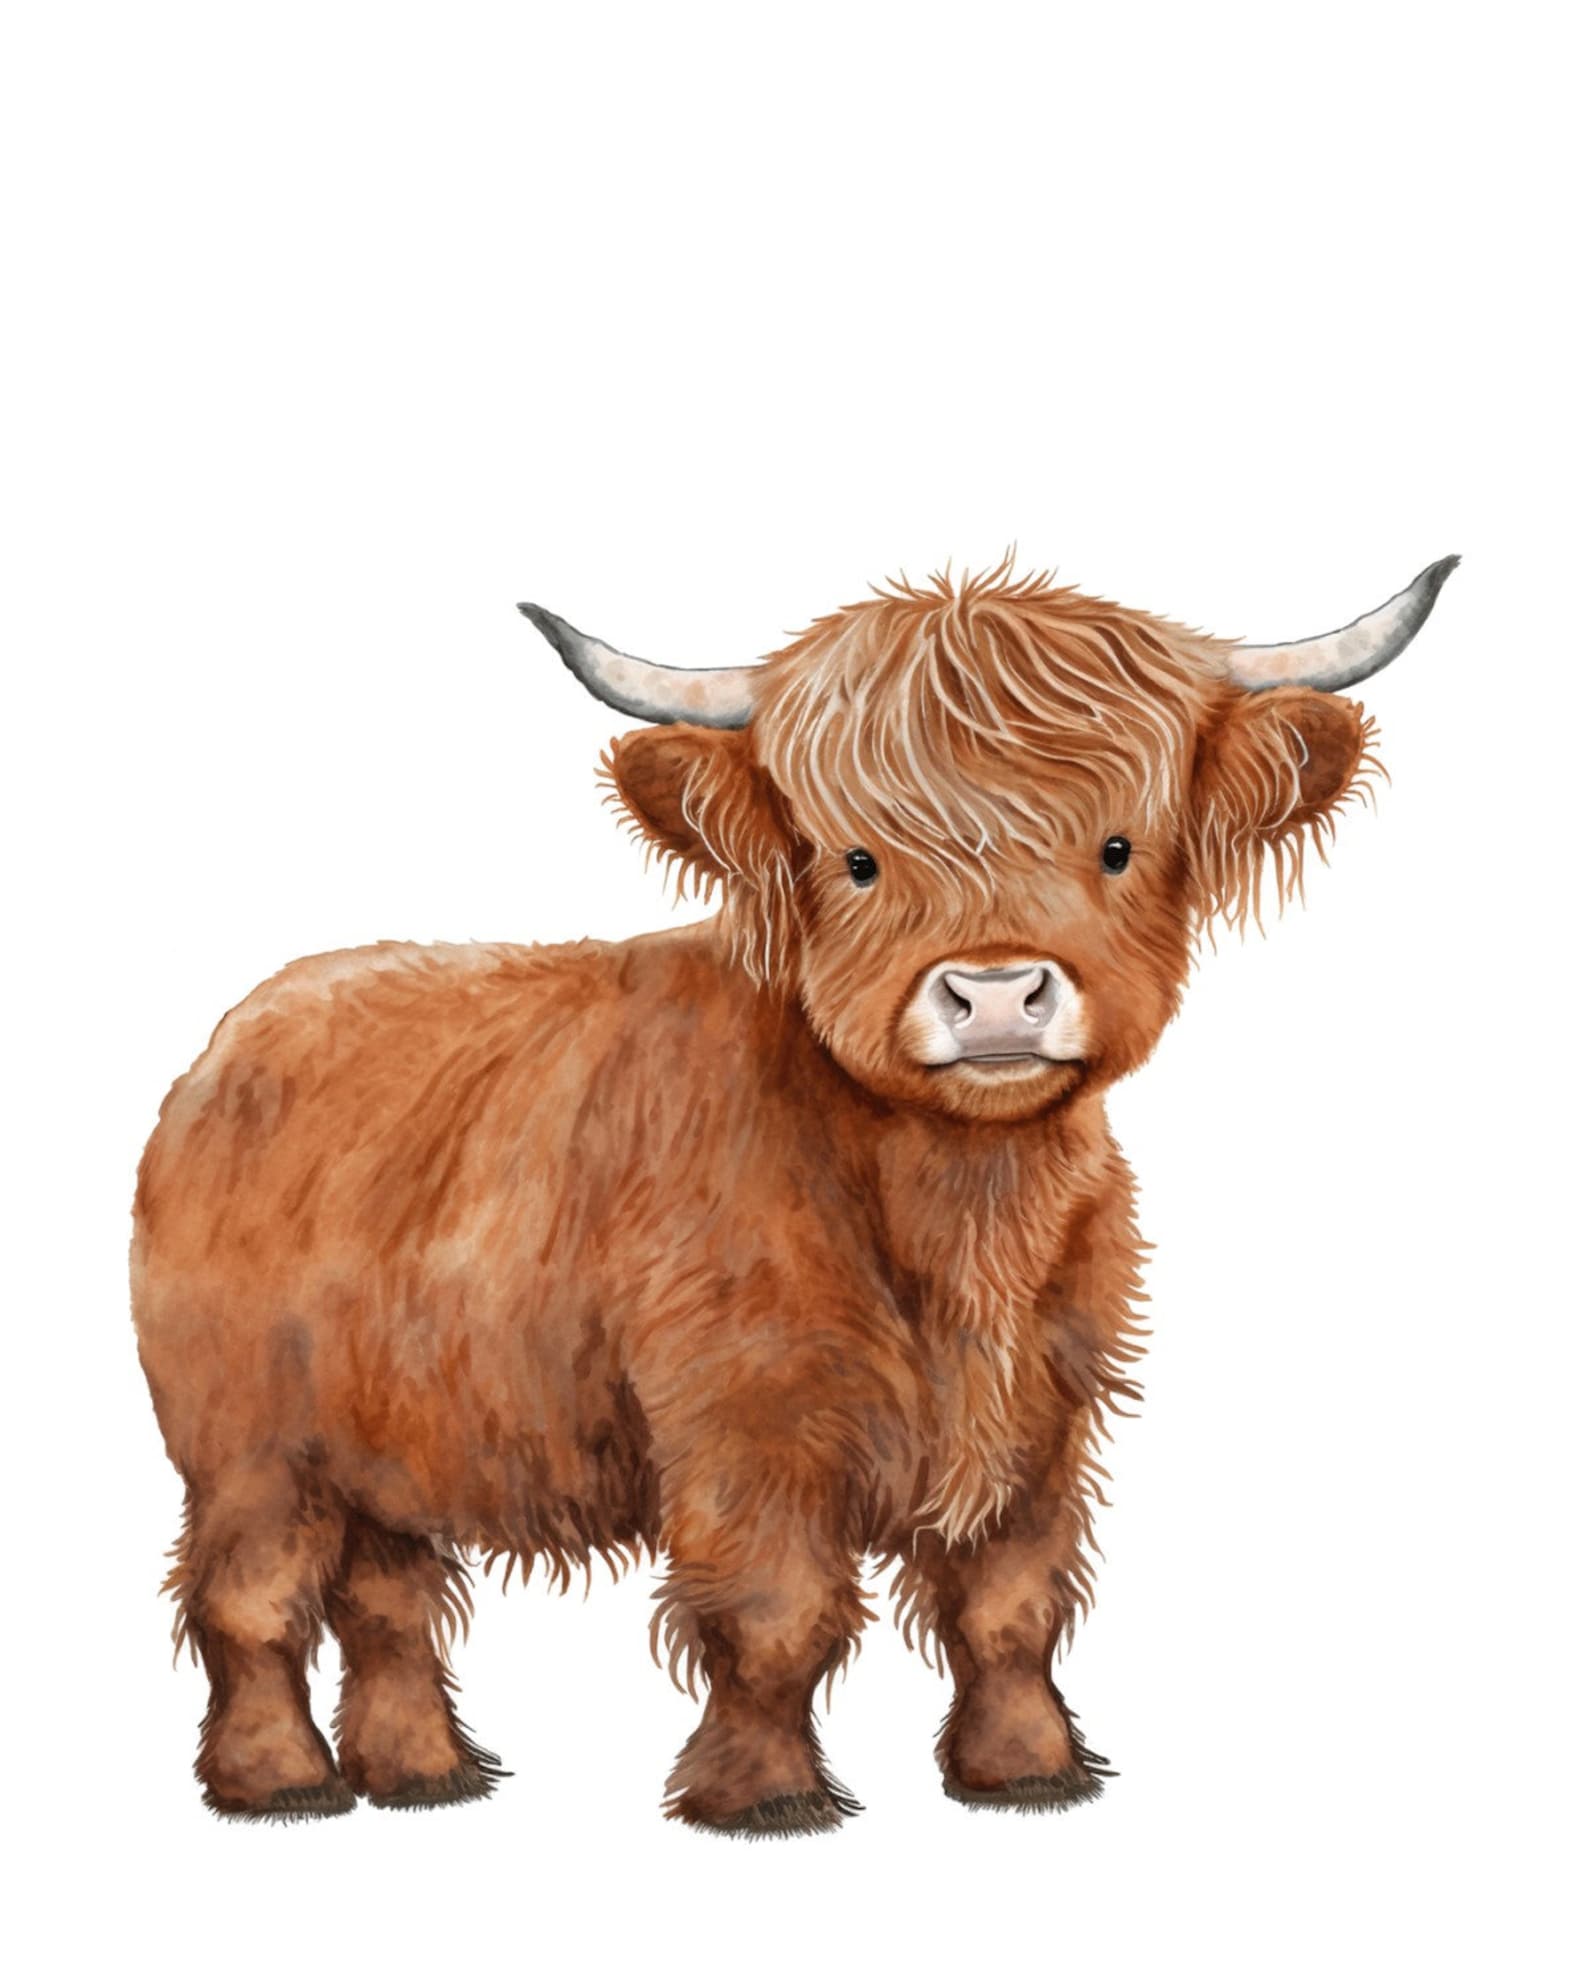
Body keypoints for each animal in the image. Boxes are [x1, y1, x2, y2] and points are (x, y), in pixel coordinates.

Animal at [132, 554, 1456, 1832]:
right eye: (857, 858)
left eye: (1118, 846)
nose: (994, 994)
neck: (961, 1219)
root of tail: (247, 1027)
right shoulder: (746, 1410)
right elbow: (775, 1612)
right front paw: (763, 1794)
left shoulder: (1049, 1405)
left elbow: (1011, 1602)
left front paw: (1026, 1769)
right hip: (247, 1438)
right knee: (255, 1595)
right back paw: (279, 1780)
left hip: (391, 1449)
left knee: (387, 1597)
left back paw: (423, 1772)